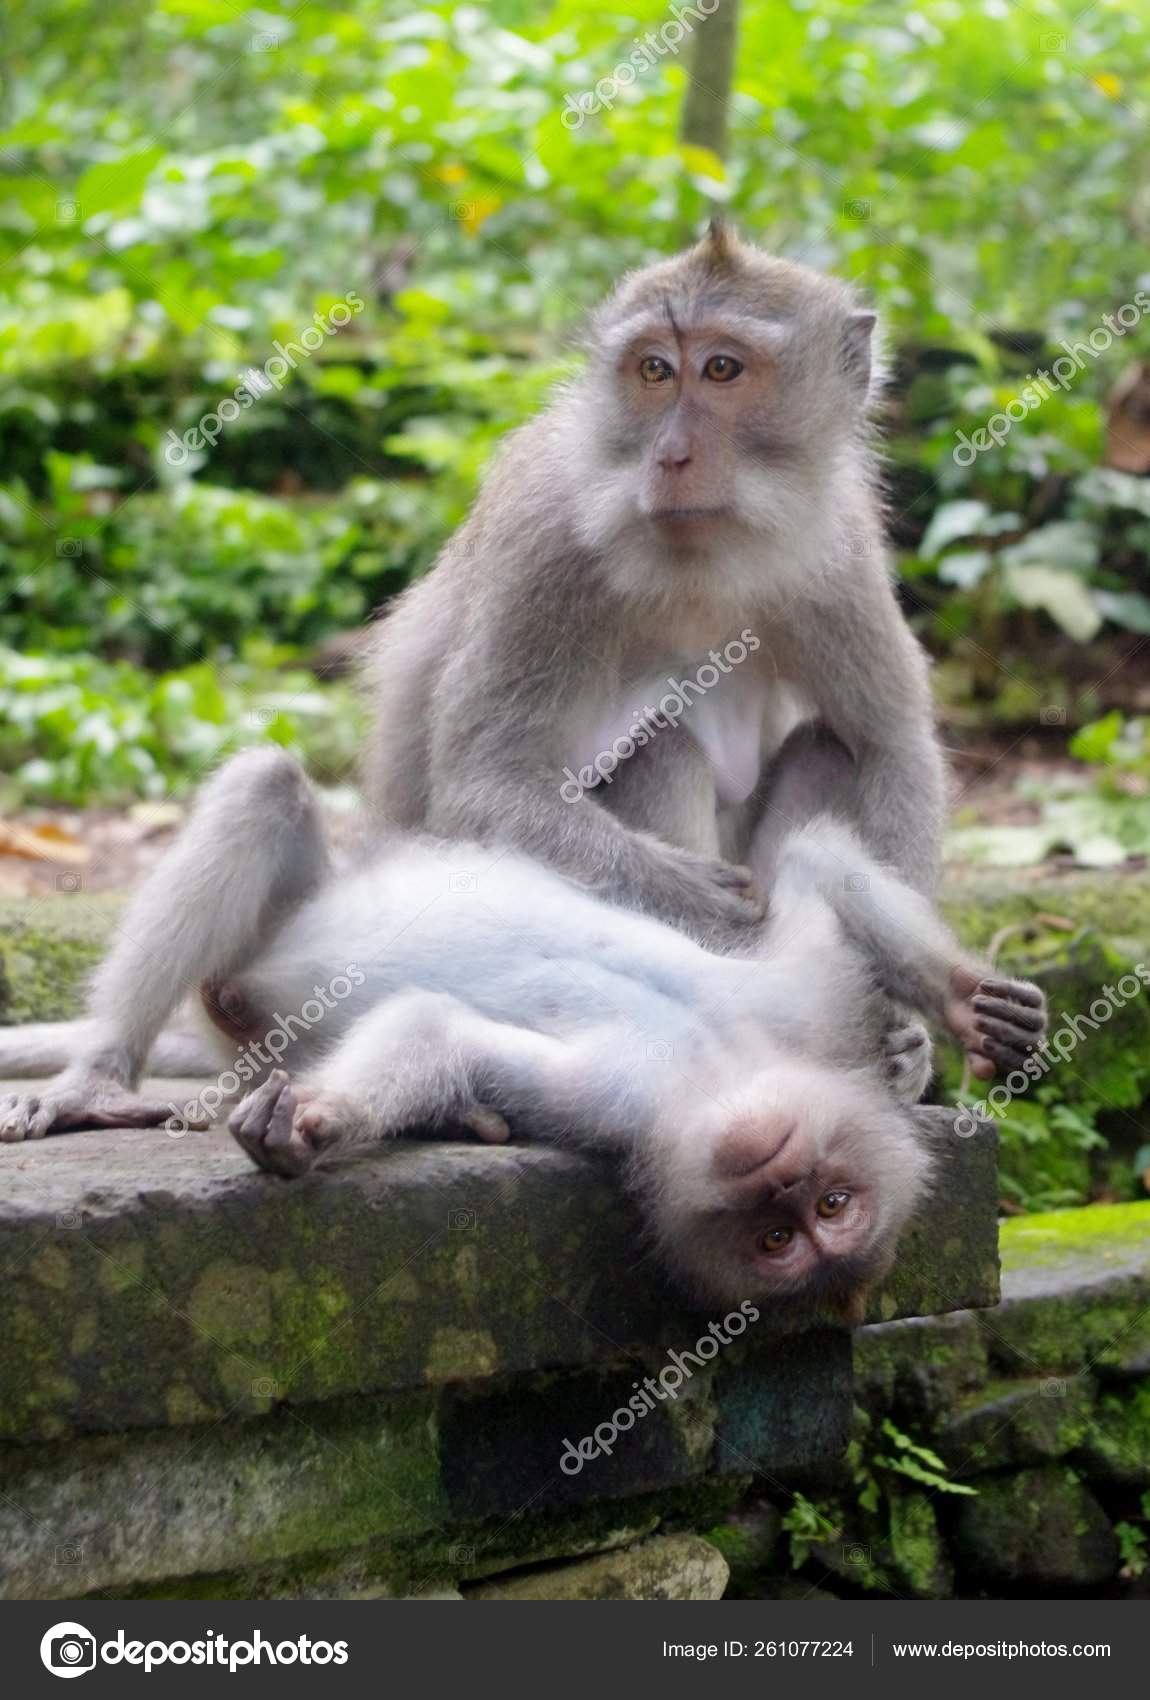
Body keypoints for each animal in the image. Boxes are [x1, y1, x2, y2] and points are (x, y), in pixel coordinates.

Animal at [0, 736, 1044, 1313]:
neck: (732, 1057)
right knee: (266, 785)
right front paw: (967, 1004)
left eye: (812, 1224)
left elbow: (443, 1032)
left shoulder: (627, 1105)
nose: (777, 1172)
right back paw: (95, 1076)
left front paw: (322, 1122)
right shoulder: (811, 1001)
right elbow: (817, 870)